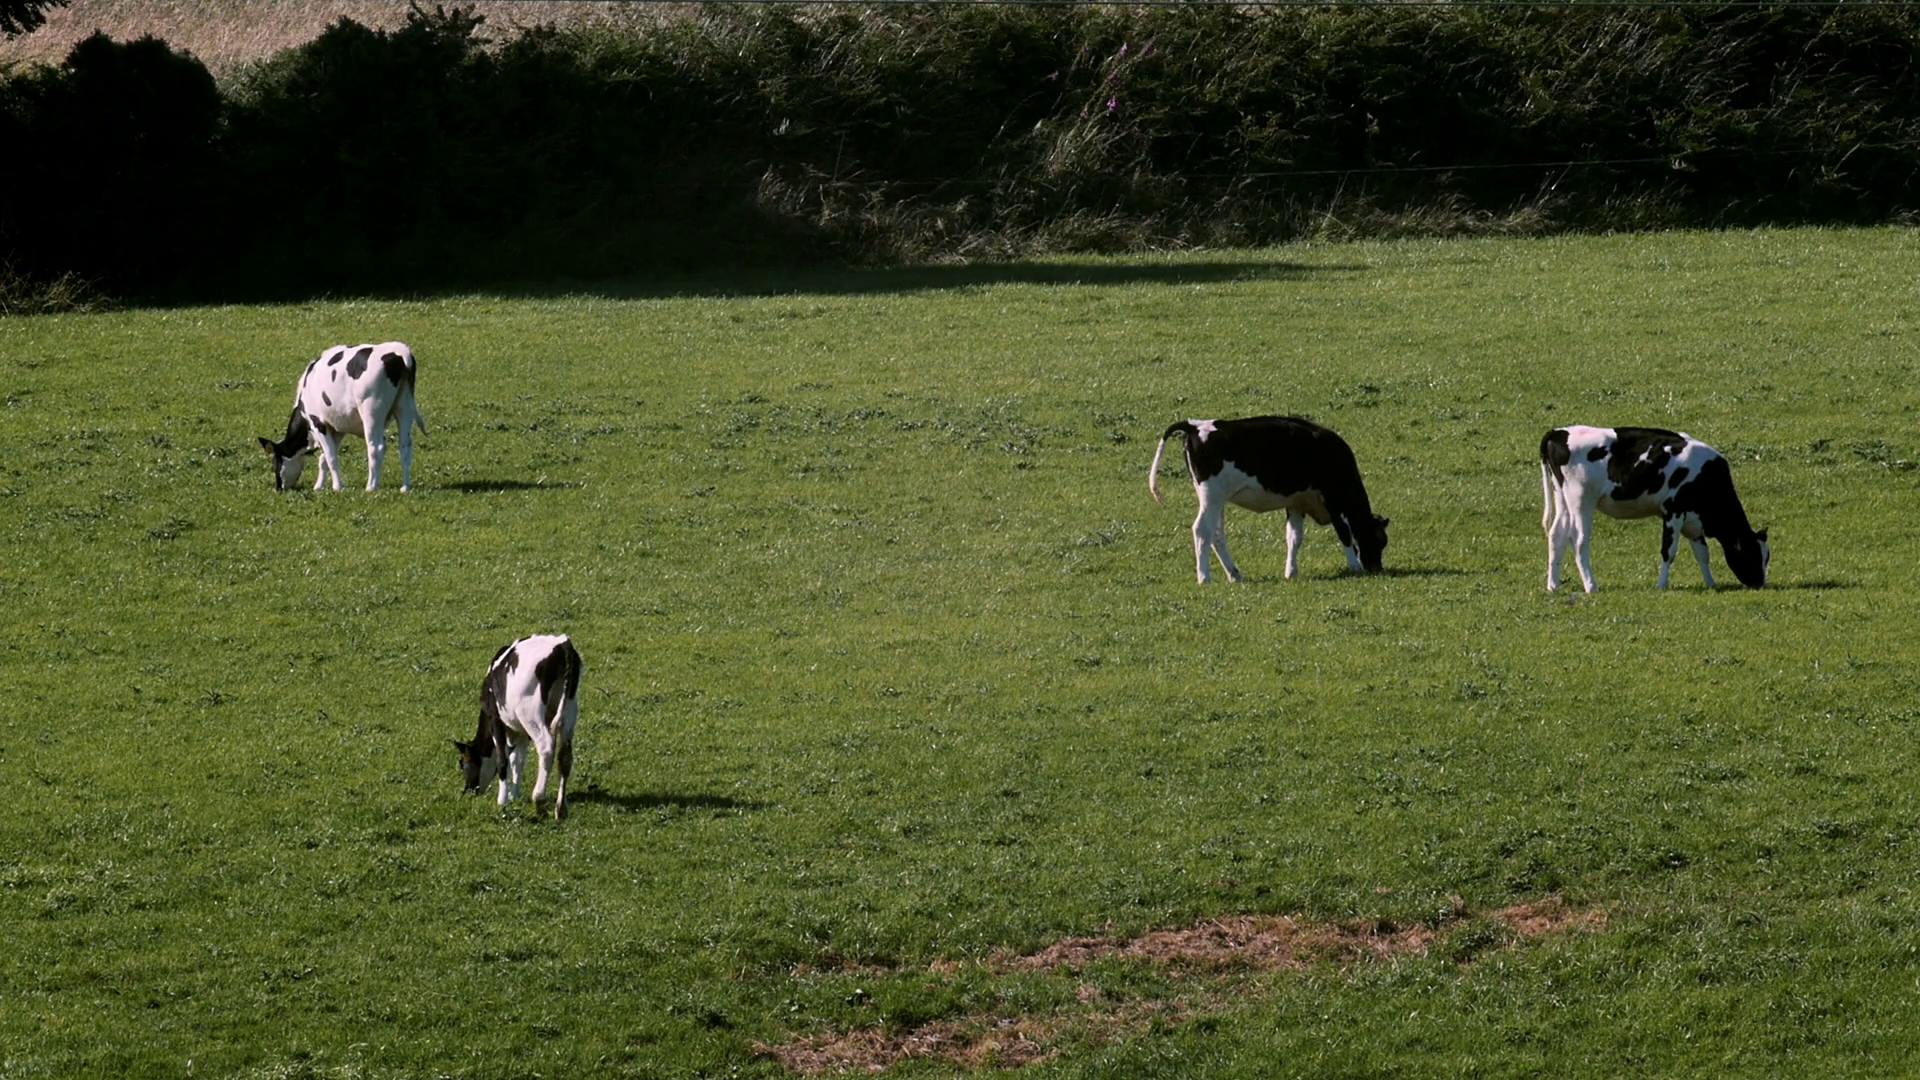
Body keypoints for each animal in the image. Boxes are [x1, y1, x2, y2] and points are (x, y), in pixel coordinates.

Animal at [258, 342, 427, 492]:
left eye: (275, 465)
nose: (278, 489)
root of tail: (401, 352)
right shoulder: (338, 428)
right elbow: (323, 459)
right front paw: (318, 486)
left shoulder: (318, 422)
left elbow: (331, 456)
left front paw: (337, 487)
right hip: (404, 407)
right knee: (405, 447)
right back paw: (405, 487)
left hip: (372, 412)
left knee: (376, 447)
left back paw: (371, 487)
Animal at [455, 635, 583, 821]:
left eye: (464, 764)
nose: (468, 791)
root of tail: (562, 645)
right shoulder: (520, 731)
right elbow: (517, 760)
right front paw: (514, 794)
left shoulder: (496, 720)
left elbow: (503, 760)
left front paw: (503, 800)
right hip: (569, 709)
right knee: (565, 755)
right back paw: (560, 809)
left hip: (530, 712)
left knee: (546, 747)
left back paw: (539, 799)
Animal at [1149, 415, 1390, 583]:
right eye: (1379, 540)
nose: (1376, 569)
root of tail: (1195, 425)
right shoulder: (1334, 498)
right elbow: (1345, 533)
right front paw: (1354, 567)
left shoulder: (1295, 504)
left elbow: (1294, 538)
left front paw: (1291, 572)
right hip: (1212, 496)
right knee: (1201, 530)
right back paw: (1204, 578)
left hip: (1216, 499)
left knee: (1216, 535)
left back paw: (1234, 574)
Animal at [1540, 425, 1769, 592]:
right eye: (1752, 555)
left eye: (1766, 557)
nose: (1761, 584)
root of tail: (1558, 432)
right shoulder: (1673, 511)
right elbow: (1669, 551)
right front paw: (1661, 585)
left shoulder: (1693, 521)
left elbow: (1702, 553)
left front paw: (1711, 584)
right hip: (1581, 500)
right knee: (1579, 540)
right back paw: (1590, 586)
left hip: (1562, 498)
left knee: (1557, 535)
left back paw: (1554, 585)